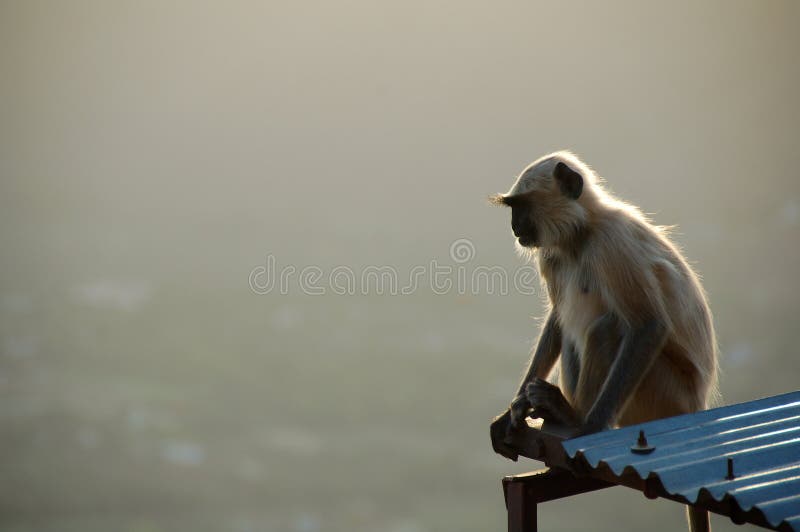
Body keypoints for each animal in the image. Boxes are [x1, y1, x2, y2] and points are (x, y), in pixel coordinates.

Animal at [489, 151, 718, 532]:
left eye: (521, 206)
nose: (513, 225)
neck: (581, 234)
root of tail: (696, 406)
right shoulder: (552, 255)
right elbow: (557, 319)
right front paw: (513, 409)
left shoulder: (613, 242)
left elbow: (648, 325)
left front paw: (589, 427)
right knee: (575, 329)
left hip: (663, 395)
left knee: (607, 326)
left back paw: (572, 413)